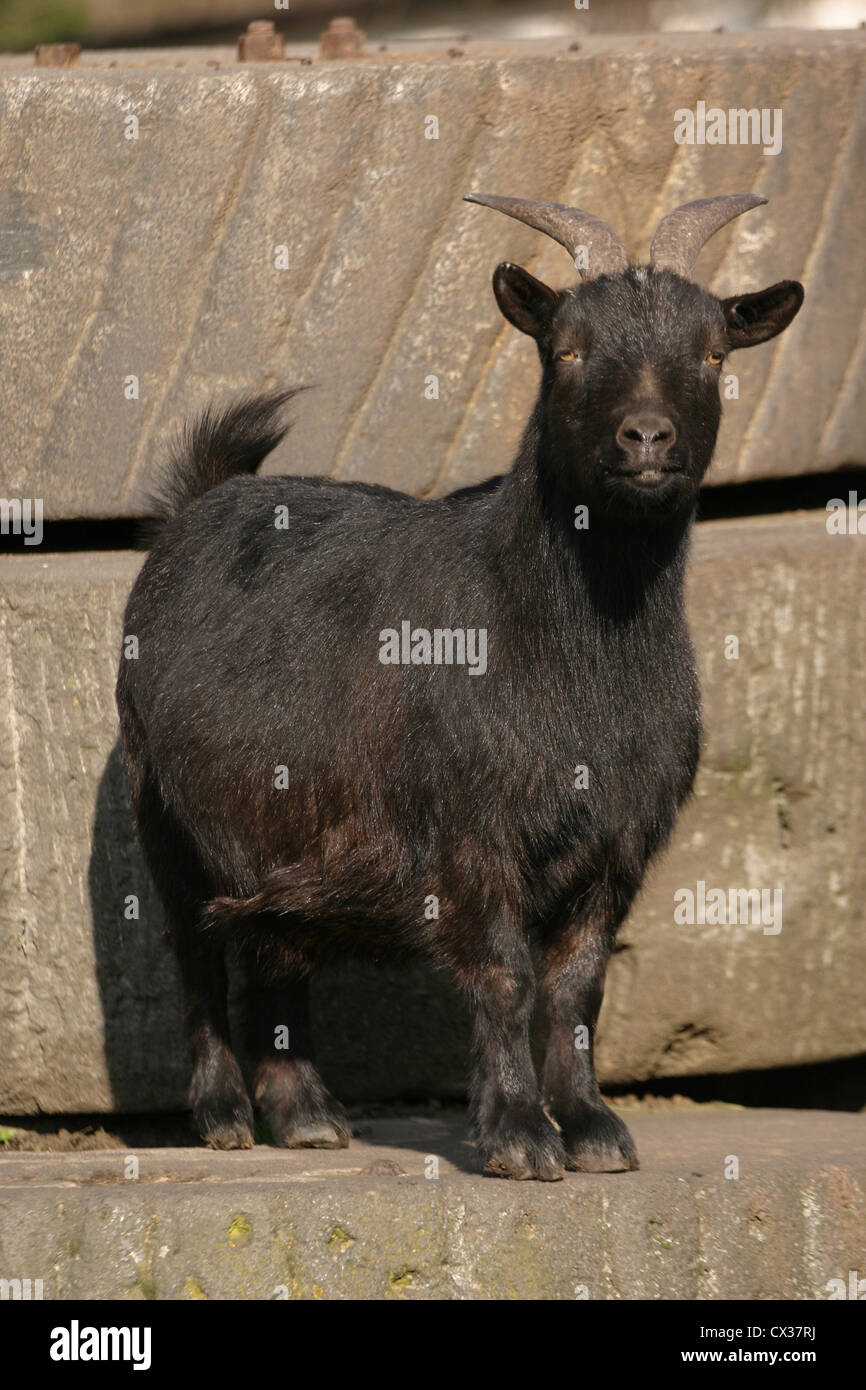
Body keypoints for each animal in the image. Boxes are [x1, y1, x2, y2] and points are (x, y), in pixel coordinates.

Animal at [116, 193, 803, 1179]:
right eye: (568, 349)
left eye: (713, 353)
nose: (646, 436)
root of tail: (197, 502)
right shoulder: (472, 834)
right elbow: (507, 976)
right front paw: (518, 1135)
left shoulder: (617, 848)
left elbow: (577, 988)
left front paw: (592, 1128)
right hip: (161, 809)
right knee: (197, 952)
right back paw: (221, 1115)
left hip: (286, 825)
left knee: (275, 947)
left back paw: (308, 1115)